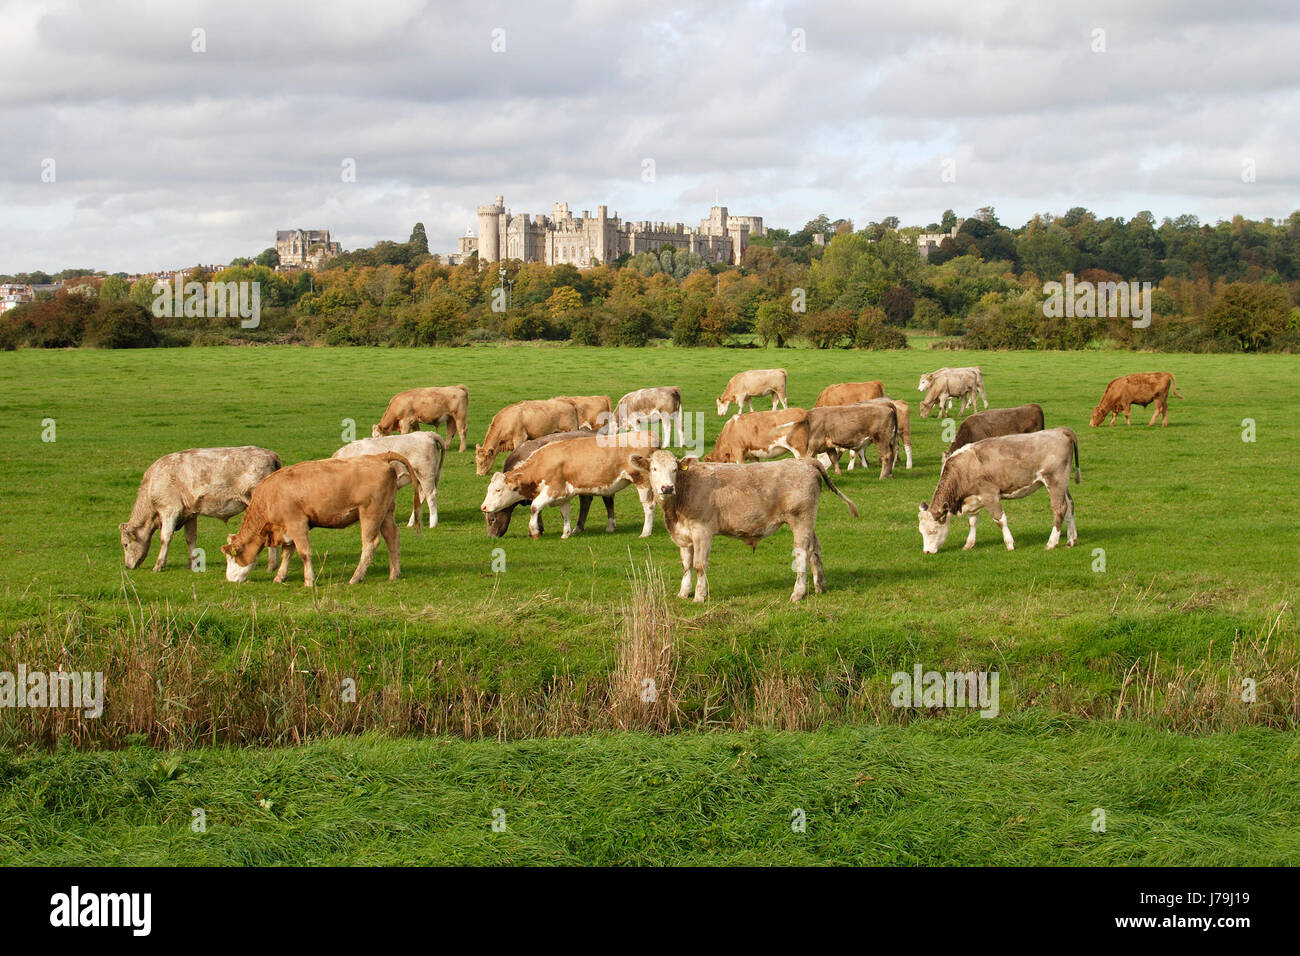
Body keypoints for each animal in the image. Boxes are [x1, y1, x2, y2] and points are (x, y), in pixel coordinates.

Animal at [120, 446, 281, 572]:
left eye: (125, 544)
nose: (127, 566)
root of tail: (271, 454)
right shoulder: (190, 513)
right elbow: (191, 538)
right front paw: (192, 564)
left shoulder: (170, 509)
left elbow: (165, 538)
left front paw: (158, 565)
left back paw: (271, 566)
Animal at [221, 453, 419, 586]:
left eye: (232, 557)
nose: (228, 579)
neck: (271, 495)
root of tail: (379, 457)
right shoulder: (289, 528)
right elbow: (287, 553)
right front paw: (280, 577)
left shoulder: (297, 523)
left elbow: (304, 553)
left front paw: (309, 580)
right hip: (386, 512)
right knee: (392, 537)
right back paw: (394, 573)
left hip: (371, 513)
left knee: (370, 543)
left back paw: (356, 577)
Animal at [479, 431, 659, 539]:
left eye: (498, 489)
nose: (484, 507)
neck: (543, 461)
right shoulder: (563, 494)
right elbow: (565, 513)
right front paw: (566, 533)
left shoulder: (552, 489)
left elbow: (535, 507)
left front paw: (535, 531)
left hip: (642, 481)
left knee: (648, 505)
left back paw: (645, 532)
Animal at [627, 450, 859, 602]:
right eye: (654, 468)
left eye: (675, 469)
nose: (667, 487)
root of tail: (805, 461)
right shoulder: (684, 537)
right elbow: (686, 565)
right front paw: (684, 592)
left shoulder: (702, 531)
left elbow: (699, 565)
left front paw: (699, 597)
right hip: (809, 521)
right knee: (815, 550)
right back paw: (820, 586)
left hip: (800, 519)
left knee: (802, 552)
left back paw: (798, 593)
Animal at [917, 427, 1080, 554]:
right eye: (921, 531)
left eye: (933, 531)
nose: (927, 552)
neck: (963, 469)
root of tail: (1060, 430)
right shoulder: (973, 499)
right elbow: (972, 522)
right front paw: (969, 544)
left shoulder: (990, 495)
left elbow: (1000, 520)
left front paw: (1009, 544)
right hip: (1063, 484)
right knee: (1070, 505)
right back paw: (1071, 539)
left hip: (1054, 482)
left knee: (1059, 509)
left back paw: (1051, 543)